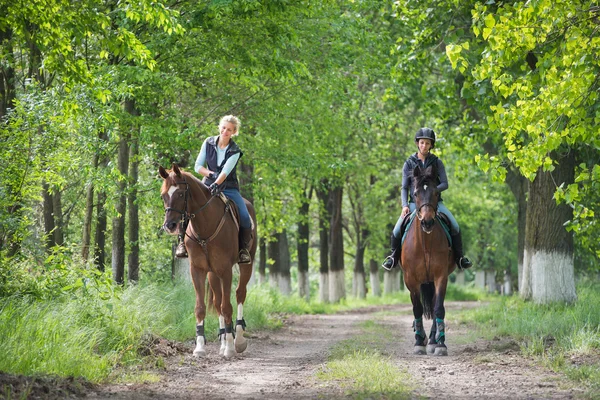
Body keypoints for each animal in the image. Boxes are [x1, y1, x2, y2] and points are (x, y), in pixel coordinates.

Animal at [158, 164, 256, 358]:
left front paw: (230, 348)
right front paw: (200, 347)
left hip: (246, 265)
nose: (170, 226)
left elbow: (227, 306)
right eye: (163, 195)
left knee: (239, 294)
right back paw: (223, 341)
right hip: (212, 274)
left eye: (180, 194)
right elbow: (201, 307)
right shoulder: (198, 269)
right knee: (217, 302)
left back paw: (238, 340)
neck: (204, 226)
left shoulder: (225, 270)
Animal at [404, 165, 454, 356]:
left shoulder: (441, 276)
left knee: (434, 307)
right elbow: (417, 308)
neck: (425, 243)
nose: (427, 222)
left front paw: (441, 345)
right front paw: (419, 342)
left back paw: (433, 340)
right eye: (415, 193)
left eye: (435, 192)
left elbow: (438, 308)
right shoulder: (410, 280)